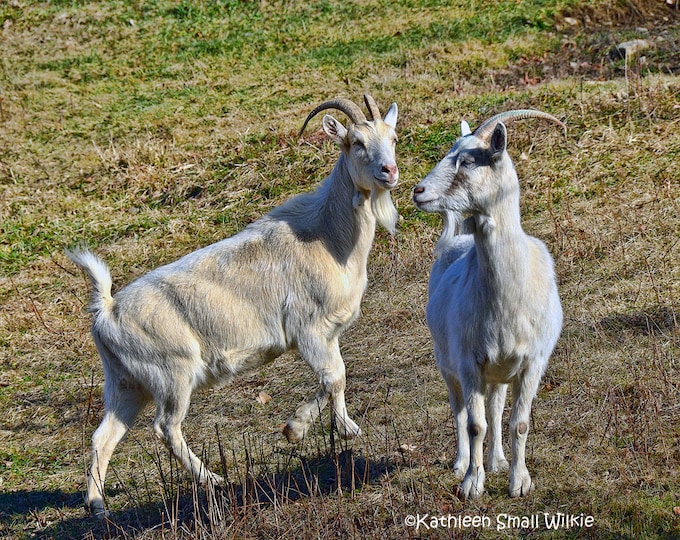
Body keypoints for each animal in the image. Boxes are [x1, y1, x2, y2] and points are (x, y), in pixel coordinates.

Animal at [68, 94, 399, 516]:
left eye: (392, 137)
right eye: (355, 142)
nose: (389, 171)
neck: (327, 235)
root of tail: (107, 310)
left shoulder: (329, 333)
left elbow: (338, 377)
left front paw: (346, 429)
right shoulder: (308, 331)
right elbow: (333, 377)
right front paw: (294, 429)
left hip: (126, 384)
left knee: (103, 436)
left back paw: (98, 507)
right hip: (172, 374)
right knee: (165, 427)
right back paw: (213, 479)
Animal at [412, 110, 564, 499]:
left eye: (467, 160)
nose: (418, 191)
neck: (507, 296)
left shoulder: (531, 362)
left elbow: (519, 423)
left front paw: (518, 482)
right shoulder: (469, 364)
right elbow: (474, 425)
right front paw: (471, 483)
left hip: (498, 372)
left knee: (496, 409)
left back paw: (496, 461)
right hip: (448, 363)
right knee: (460, 413)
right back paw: (461, 462)